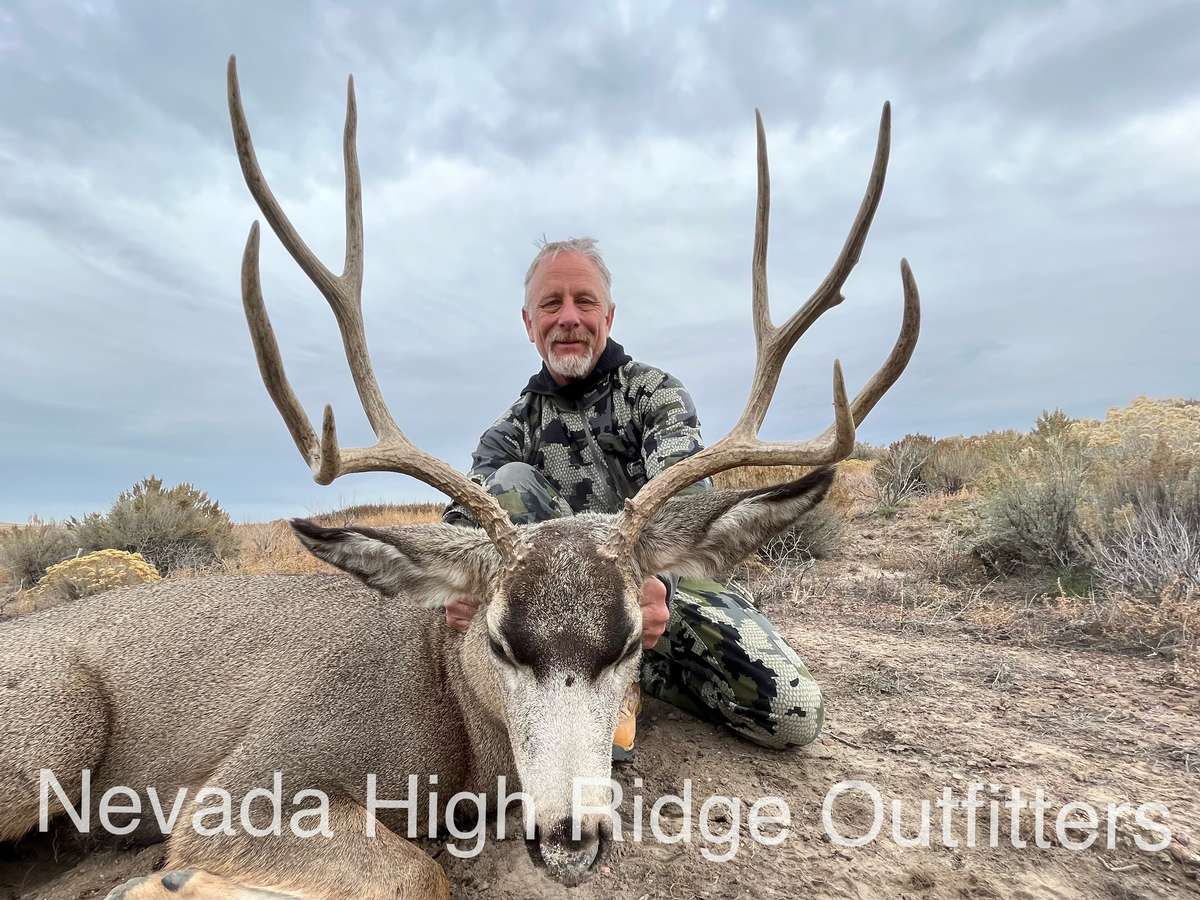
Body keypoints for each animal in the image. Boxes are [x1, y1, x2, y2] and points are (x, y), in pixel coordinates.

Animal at [0, 56, 919, 900]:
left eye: (630, 642)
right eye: (502, 640)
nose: (570, 837)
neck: (445, 711)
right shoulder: (250, 777)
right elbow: (418, 873)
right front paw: (161, 880)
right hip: (54, 727)